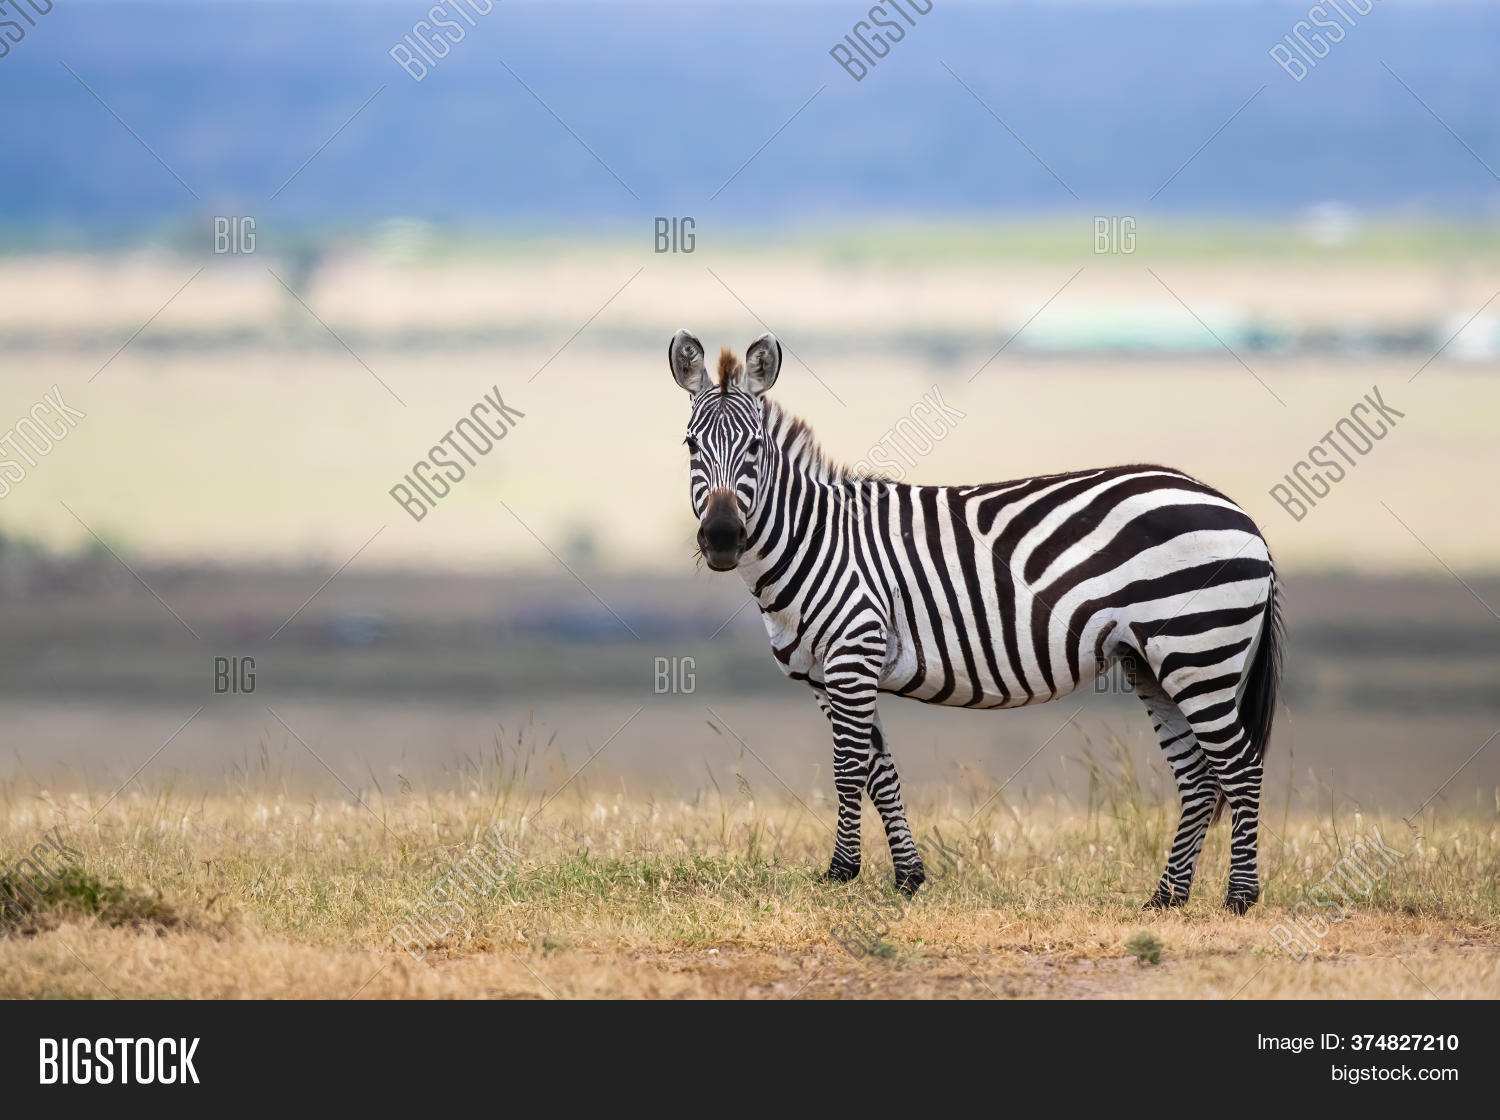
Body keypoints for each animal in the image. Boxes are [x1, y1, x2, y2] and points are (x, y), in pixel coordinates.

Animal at [670, 329, 1283, 913]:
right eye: (690, 444)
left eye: (755, 447)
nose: (721, 537)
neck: (815, 542)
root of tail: (1240, 513)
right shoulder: (826, 676)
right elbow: (880, 772)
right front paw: (908, 878)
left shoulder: (853, 654)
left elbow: (848, 769)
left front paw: (841, 874)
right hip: (1152, 662)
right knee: (1199, 777)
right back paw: (1167, 897)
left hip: (1197, 651)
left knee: (1241, 766)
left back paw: (1240, 897)